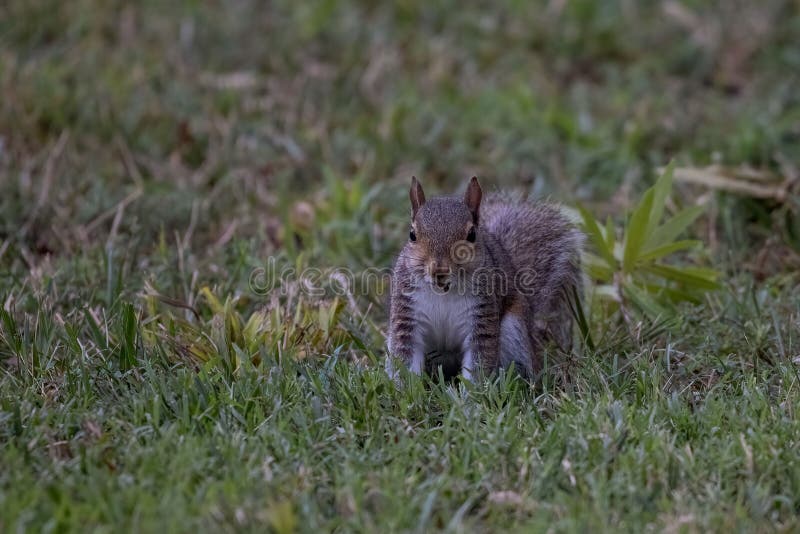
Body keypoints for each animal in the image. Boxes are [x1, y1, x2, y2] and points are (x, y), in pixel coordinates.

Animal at [386, 176, 583, 382]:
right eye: (412, 235)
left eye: (471, 234)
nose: (439, 271)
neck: (443, 291)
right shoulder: (407, 316)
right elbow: (406, 359)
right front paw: (406, 388)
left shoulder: (482, 317)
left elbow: (478, 363)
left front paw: (468, 392)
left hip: (514, 331)